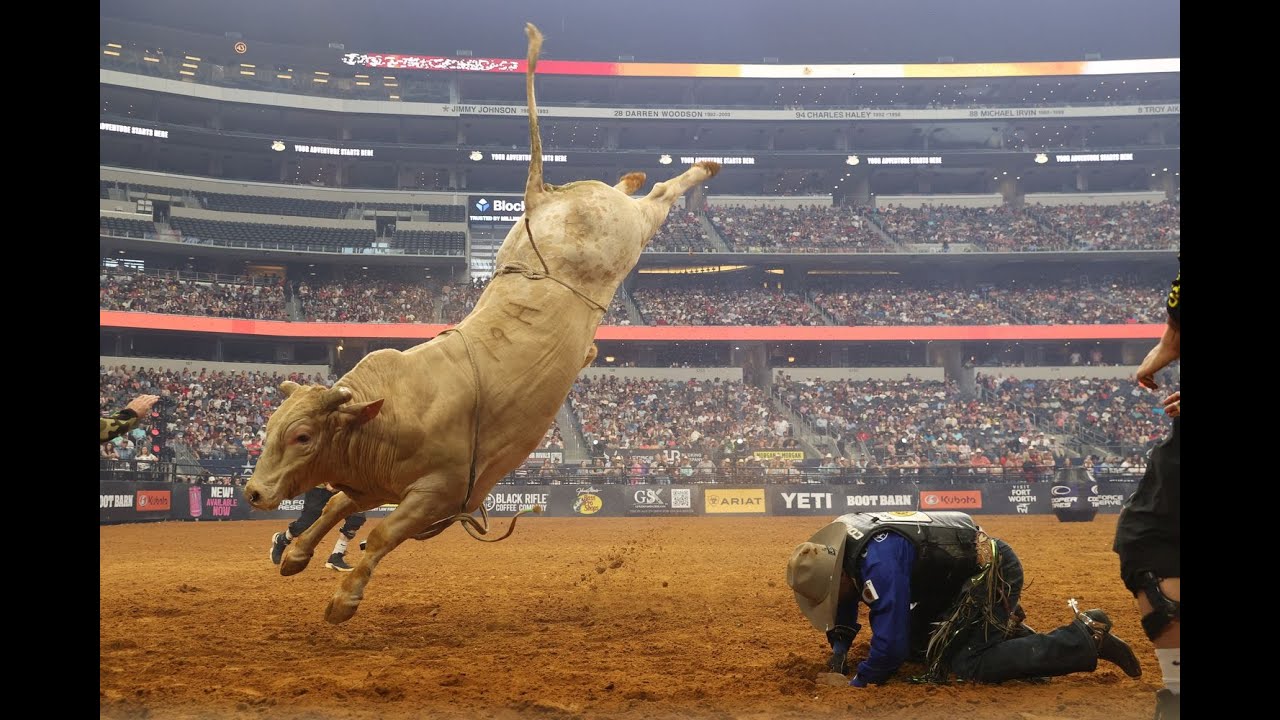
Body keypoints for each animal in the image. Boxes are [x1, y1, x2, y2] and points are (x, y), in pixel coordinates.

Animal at [243, 22, 720, 624]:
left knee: (660, 196)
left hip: (631, 230)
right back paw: (636, 174)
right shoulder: (374, 481)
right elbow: (334, 506)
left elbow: (380, 535)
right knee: (635, 189)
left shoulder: (440, 493)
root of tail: (539, 200)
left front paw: (344, 597)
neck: (395, 409)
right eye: (269, 427)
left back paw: (701, 169)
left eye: (303, 436)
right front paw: (296, 554)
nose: (254, 494)